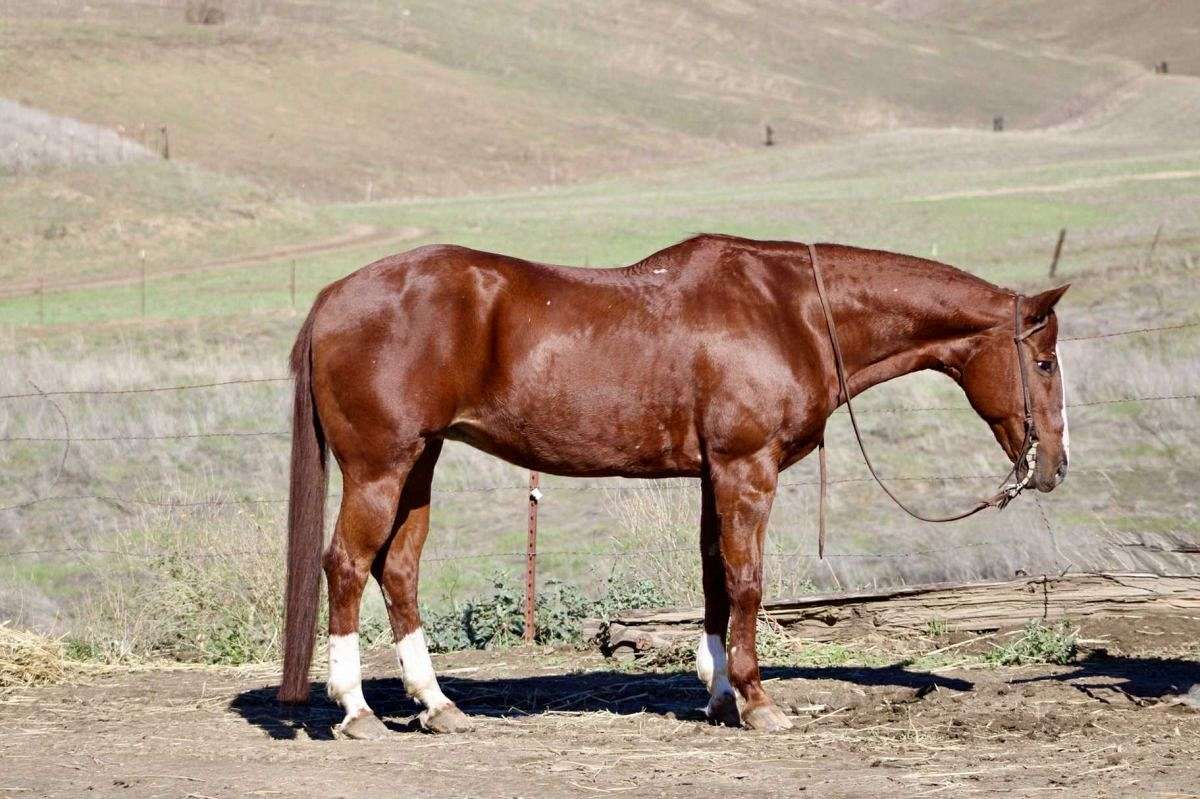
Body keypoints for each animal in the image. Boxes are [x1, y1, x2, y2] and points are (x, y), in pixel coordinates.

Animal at [276, 234, 1070, 737]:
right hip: (380, 467)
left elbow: (716, 578)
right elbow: (748, 581)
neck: (793, 311)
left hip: (419, 464)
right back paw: (356, 711)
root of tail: (333, 298)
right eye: (1045, 361)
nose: (1055, 465)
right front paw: (756, 701)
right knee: (347, 566)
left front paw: (719, 695)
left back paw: (438, 706)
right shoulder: (747, 470)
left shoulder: (716, 475)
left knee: (398, 570)